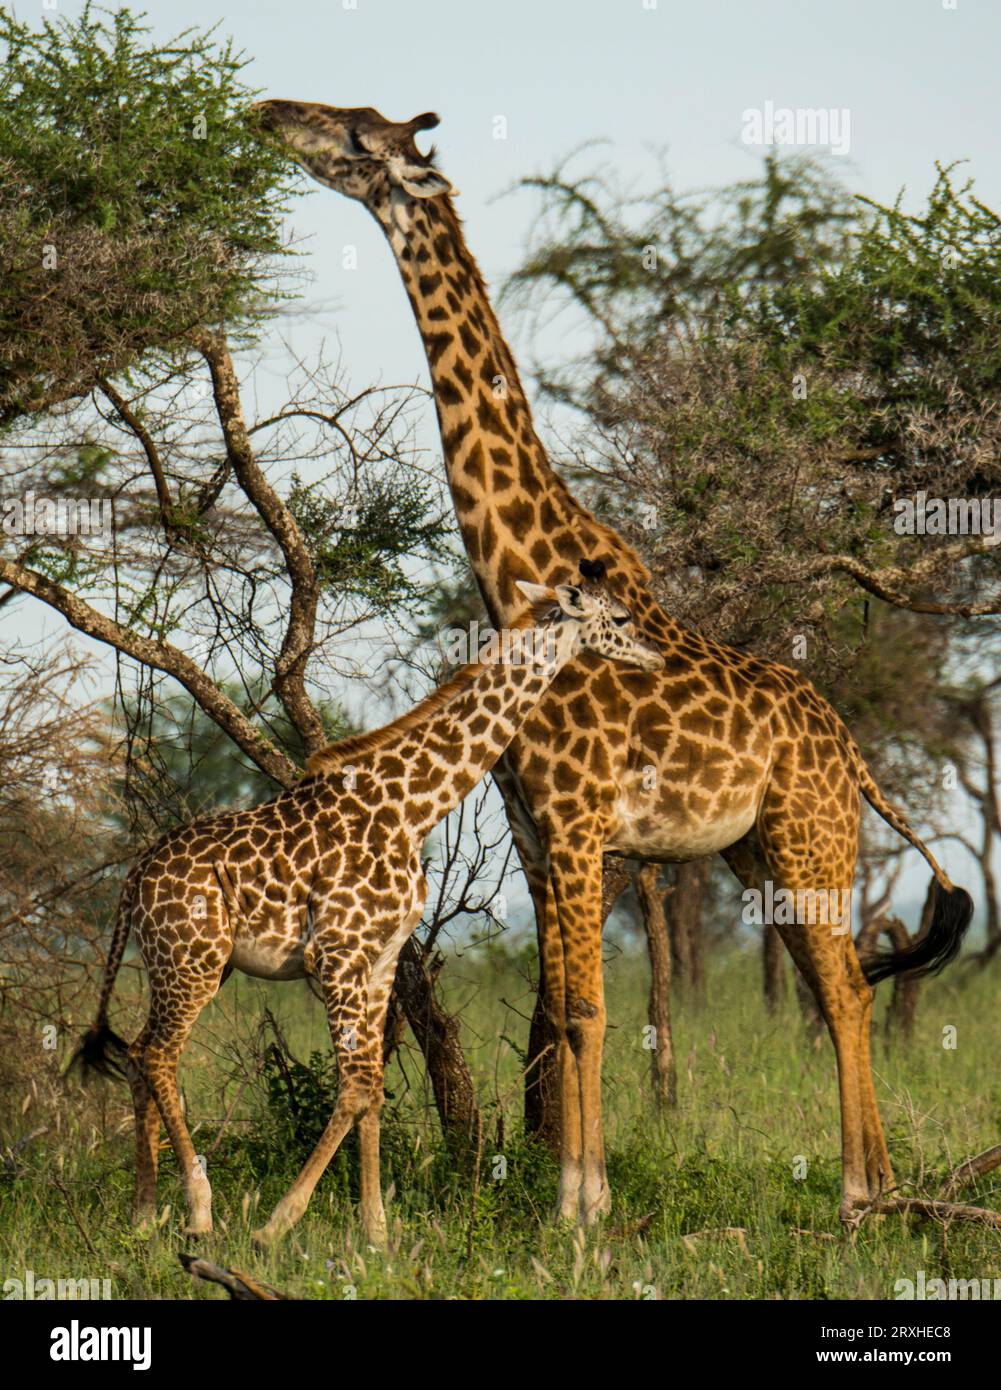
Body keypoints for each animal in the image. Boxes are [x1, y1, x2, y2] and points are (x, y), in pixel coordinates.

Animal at [75, 575, 663, 1245]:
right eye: (621, 616)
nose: (655, 657)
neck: (414, 808)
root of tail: (136, 873)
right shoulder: (337, 954)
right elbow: (355, 1088)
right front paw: (280, 1222)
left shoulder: (380, 960)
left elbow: (374, 1089)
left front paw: (376, 1230)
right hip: (192, 960)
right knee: (156, 1055)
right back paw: (199, 1211)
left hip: (189, 963)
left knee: (139, 1053)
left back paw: (144, 1214)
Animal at [254, 100, 974, 1229]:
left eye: (357, 137)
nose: (266, 112)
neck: (519, 574)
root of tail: (852, 752)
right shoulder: (537, 829)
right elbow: (563, 1012)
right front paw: (574, 1192)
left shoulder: (582, 821)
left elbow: (589, 1012)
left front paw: (575, 1210)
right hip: (755, 852)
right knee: (839, 987)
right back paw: (878, 1188)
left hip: (809, 839)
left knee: (846, 986)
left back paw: (865, 1195)